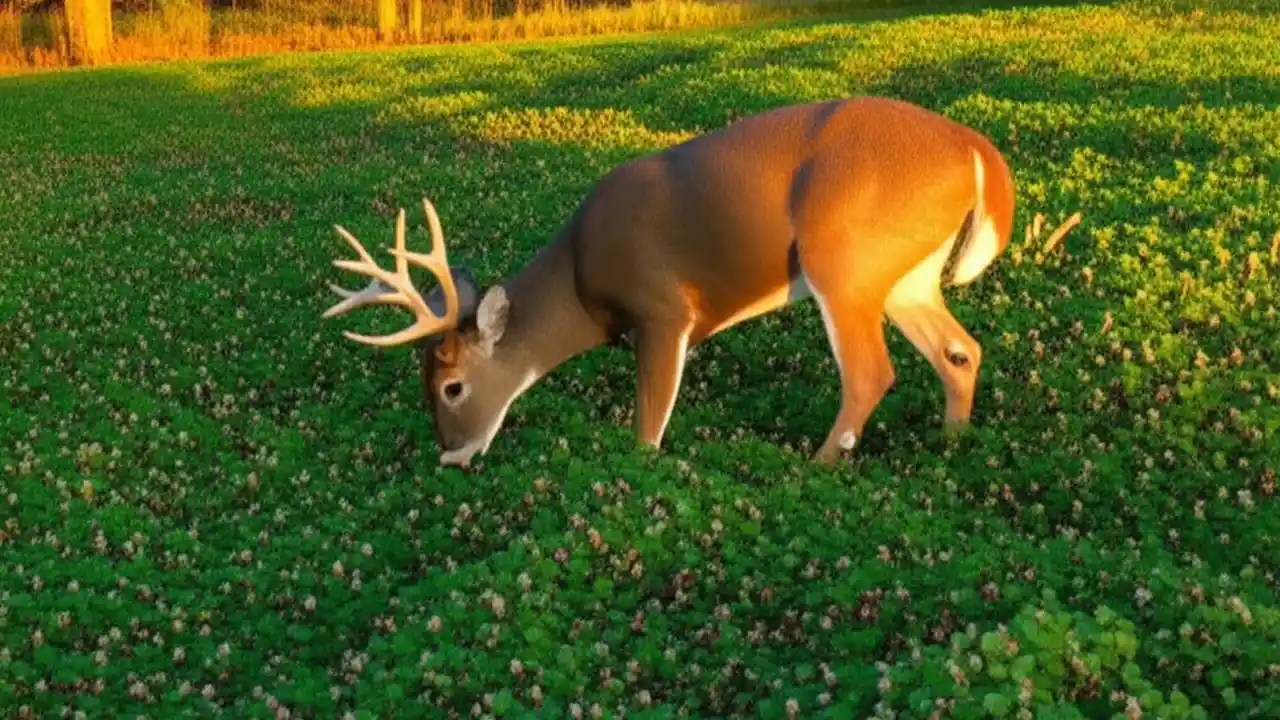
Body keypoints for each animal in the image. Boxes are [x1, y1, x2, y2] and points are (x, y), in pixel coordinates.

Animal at [322, 96, 1015, 468]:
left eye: (452, 387)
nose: (450, 455)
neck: (580, 283)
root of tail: (976, 151)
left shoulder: (660, 310)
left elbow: (646, 432)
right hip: (904, 274)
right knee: (960, 350)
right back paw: (954, 442)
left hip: (842, 258)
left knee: (871, 372)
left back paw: (815, 468)